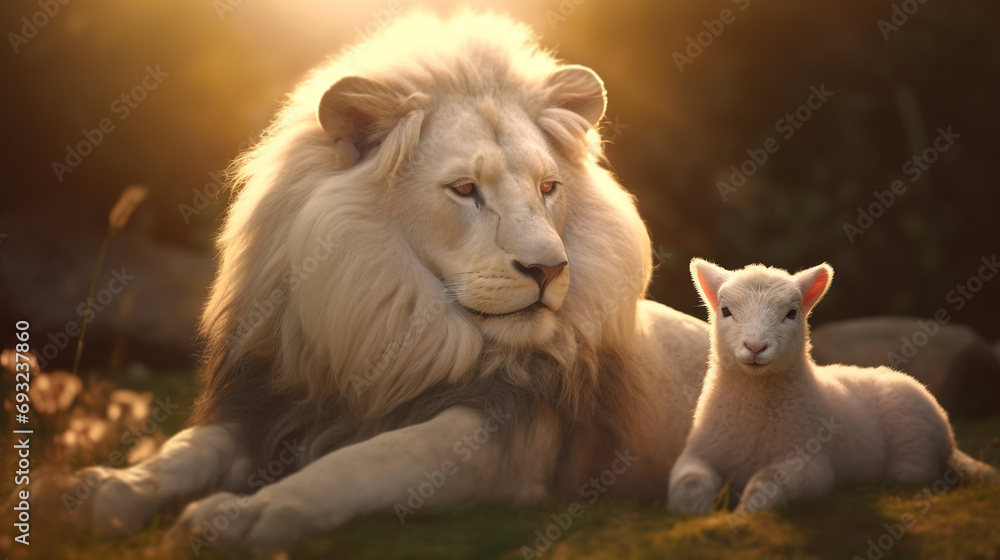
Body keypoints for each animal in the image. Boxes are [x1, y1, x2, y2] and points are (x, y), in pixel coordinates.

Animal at [71, 12, 710, 547]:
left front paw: (245, 514)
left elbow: (366, 462)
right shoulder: (274, 404)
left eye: (548, 188)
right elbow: (189, 446)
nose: (550, 268)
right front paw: (113, 486)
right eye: (465, 189)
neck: (387, 327)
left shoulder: (514, 443)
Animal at [667, 259, 999, 517]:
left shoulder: (811, 468)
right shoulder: (698, 455)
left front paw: (743, 513)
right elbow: (689, 484)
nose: (755, 347)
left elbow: (767, 481)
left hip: (915, 443)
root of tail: (950, 439)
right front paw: (699, 514)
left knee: (914, 471)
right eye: (725, 311)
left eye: (791, 313)